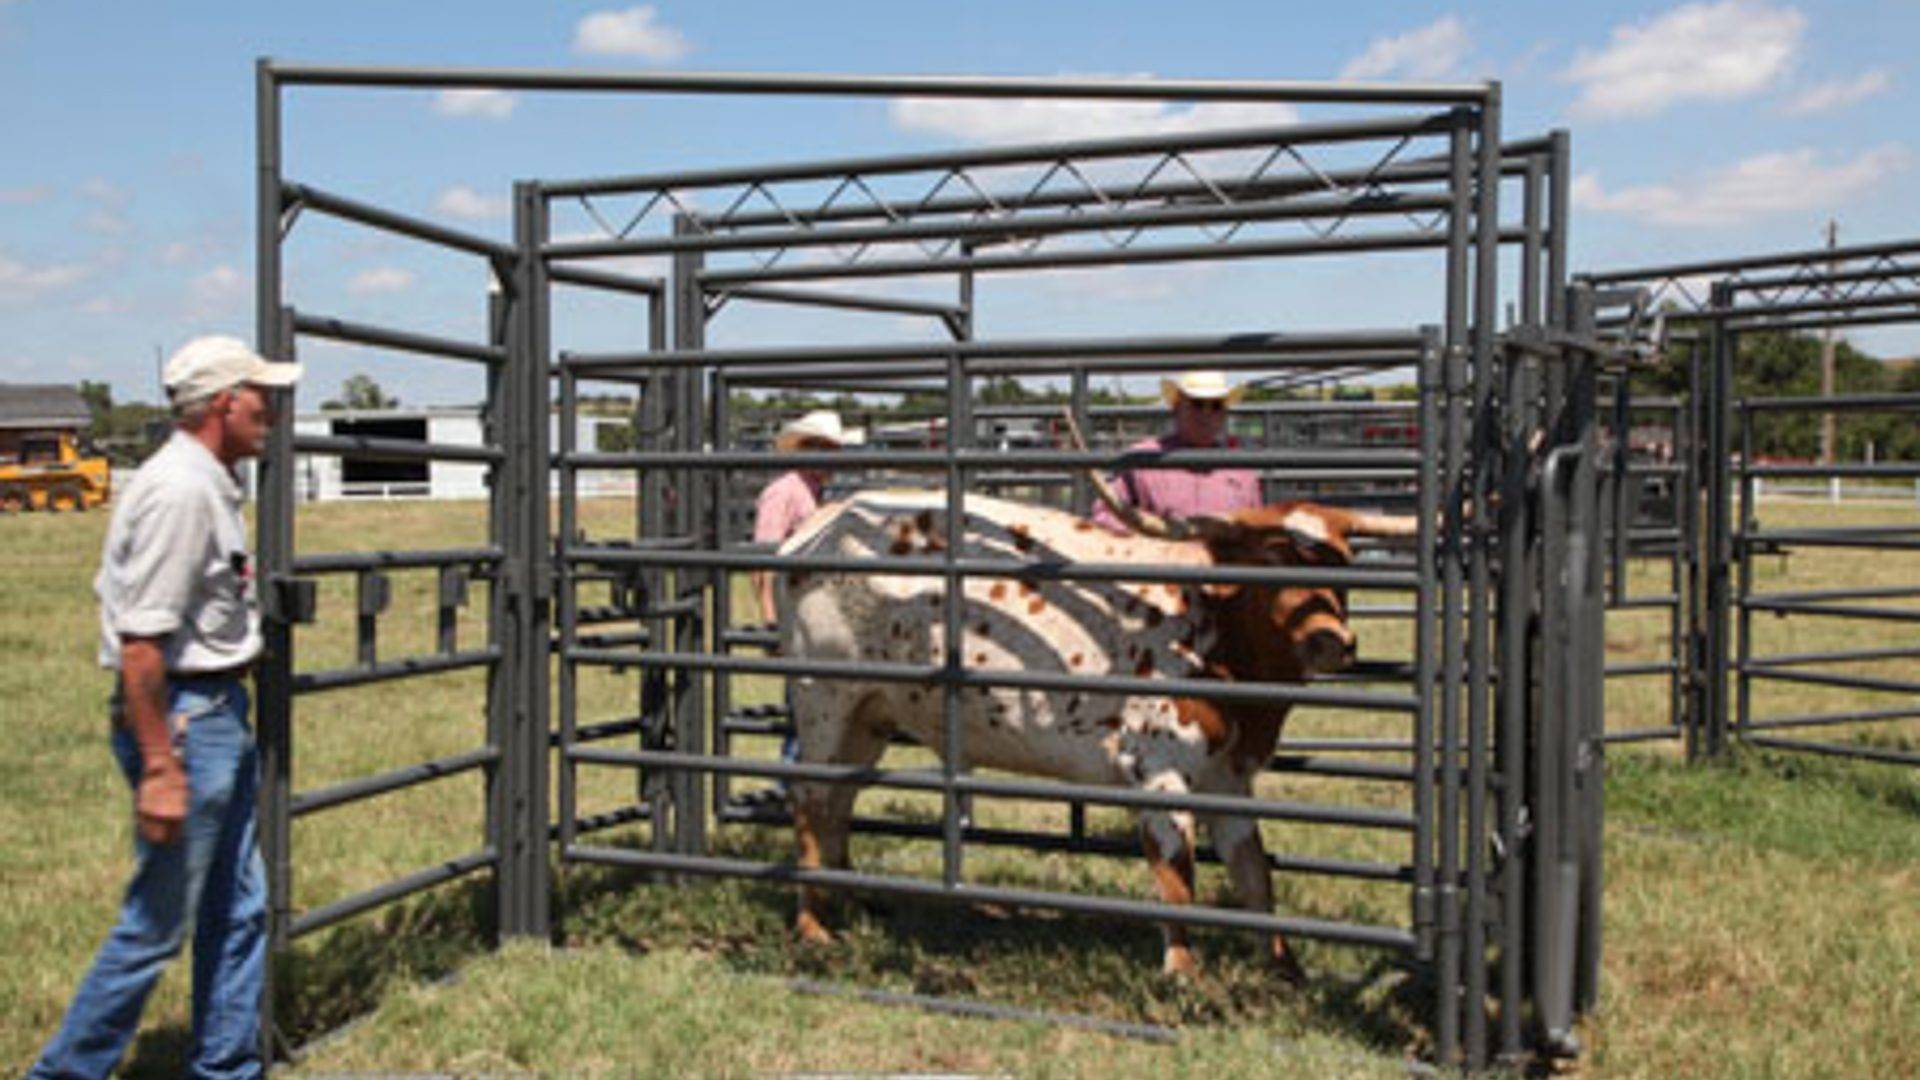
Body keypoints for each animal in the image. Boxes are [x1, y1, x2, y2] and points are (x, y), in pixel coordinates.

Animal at [776, 475, 1414, 979]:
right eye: (1269, 562)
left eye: (1342, 565)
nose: (1332, 641)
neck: (1210, 622)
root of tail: (821, 524)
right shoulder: (1157, 771)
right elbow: (1176, 875)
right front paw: (1183, 972)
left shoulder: (1229, 778)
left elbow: (1254, 874)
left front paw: (1285, 968)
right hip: (824, 699)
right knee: (810, 799)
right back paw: (811, 927)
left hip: (871, 713)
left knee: (839, 799)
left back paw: (851, 902)